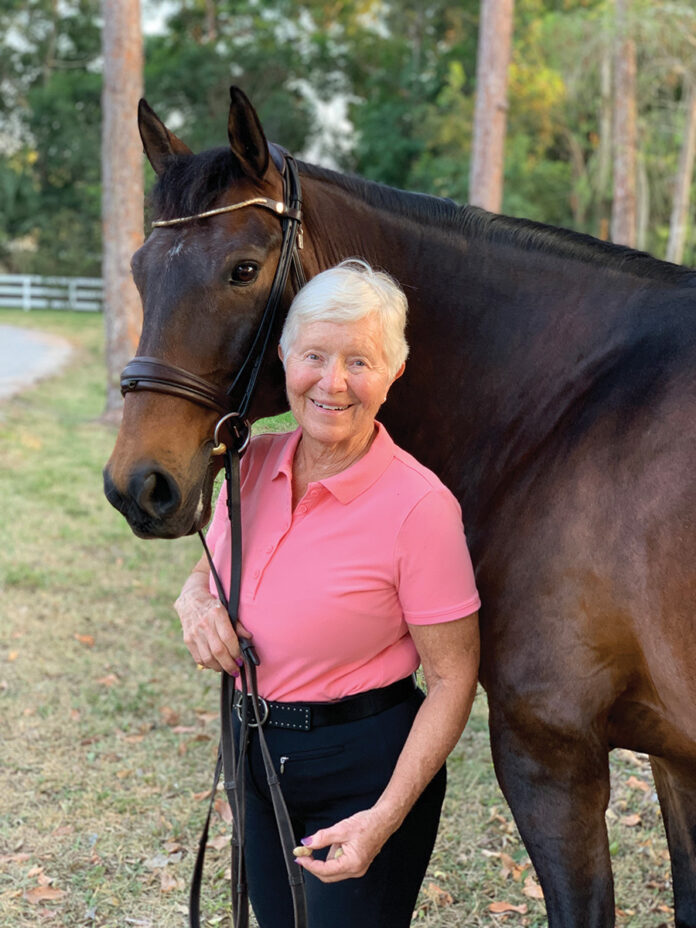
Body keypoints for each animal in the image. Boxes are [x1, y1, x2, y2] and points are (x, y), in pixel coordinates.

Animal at [104, 86, 696, 927]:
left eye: (243, 269)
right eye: (140, 269)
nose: (138, 485)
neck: (583, 410)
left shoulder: (551, 751)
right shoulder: (675, 759)